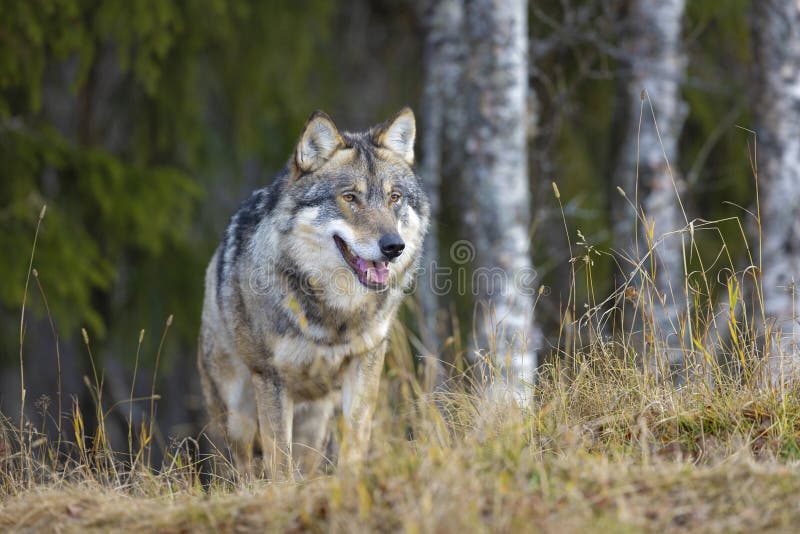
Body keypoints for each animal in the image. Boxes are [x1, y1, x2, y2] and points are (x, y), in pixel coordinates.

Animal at [198, 108, 429, 476]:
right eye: (350, 197)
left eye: (394, 198)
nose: (394, 246)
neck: (336, 313)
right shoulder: (271, 379)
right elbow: (279, 461)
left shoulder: (366, 363)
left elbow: (356, 439)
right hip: (237, 415)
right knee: (242, 467)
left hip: (315, 422)